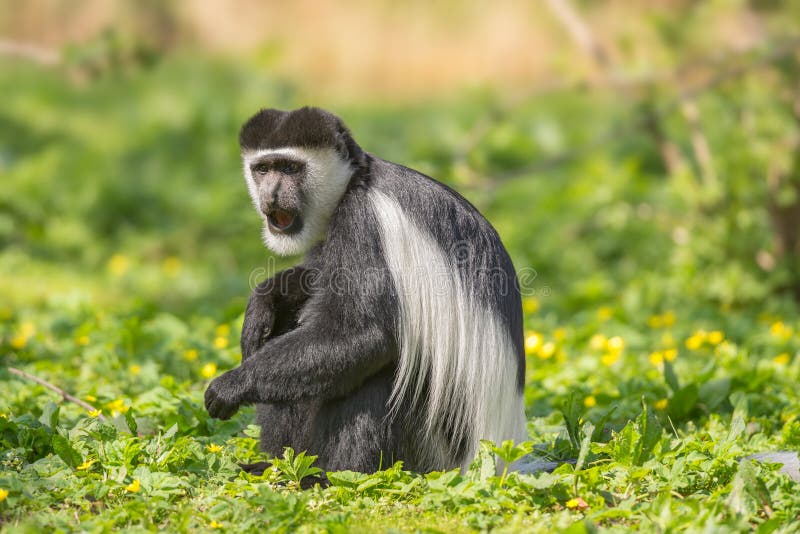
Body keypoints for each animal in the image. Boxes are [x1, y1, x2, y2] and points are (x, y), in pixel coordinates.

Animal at [205, 106, 528, 474]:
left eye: (290, 168)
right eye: (262, 169)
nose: (270, 195)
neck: (356, 181)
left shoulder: (365, 219)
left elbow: (362, 332)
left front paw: (232, 385)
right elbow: (321, 277)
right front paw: (264, 298)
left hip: (431, 446)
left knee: (382, 371)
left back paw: (330, 476)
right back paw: (279, 464)